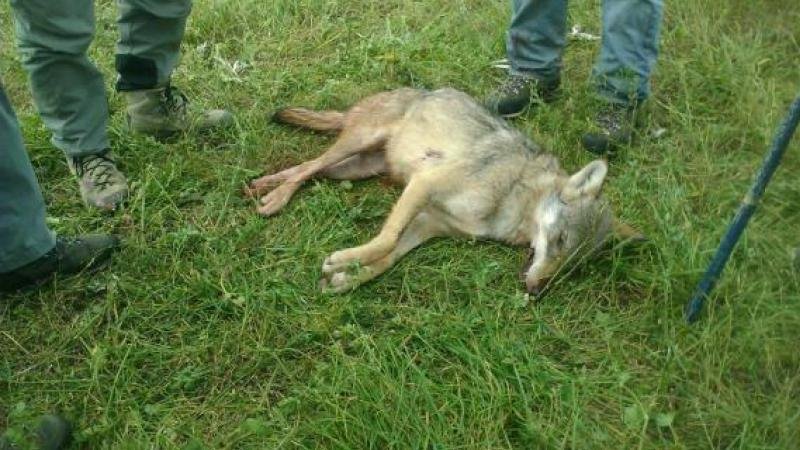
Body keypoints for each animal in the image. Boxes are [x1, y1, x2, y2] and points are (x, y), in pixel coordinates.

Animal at [245, 88, 642, 294]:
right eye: (558, 241)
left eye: (571, 266)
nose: (536, 291)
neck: (514, 199)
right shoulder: (424, 185)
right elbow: (386, 240)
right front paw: (343, 260)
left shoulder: (428, 224)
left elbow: (387, 260)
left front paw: (346, 277)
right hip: (356, 146)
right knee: (308, 167)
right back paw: (274, 197)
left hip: (355, 167)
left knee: (309, 170)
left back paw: (265, 186)